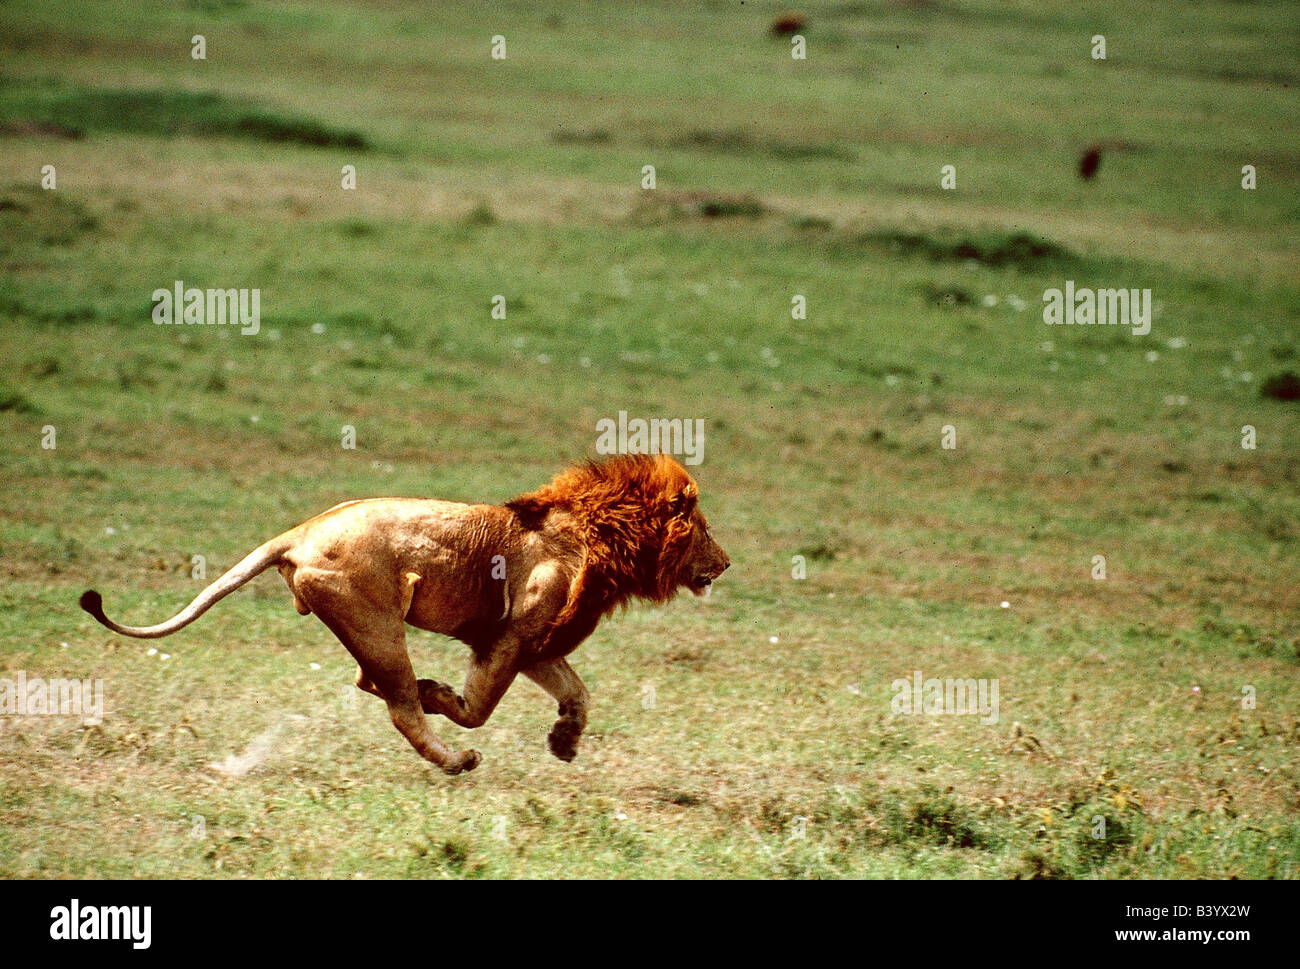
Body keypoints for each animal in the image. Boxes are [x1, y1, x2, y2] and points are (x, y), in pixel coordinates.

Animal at [79, 454, 730, 774]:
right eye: (702, 529)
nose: (725, 563)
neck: (603, 537)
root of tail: (300, 531)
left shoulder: (537, 644)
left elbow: (578, 692)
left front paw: (565, 743)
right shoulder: (511, 633)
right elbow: (477, 709)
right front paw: (447, 698)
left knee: (371, 684)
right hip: (376, 622)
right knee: (397, 705)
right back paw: (452, 753)